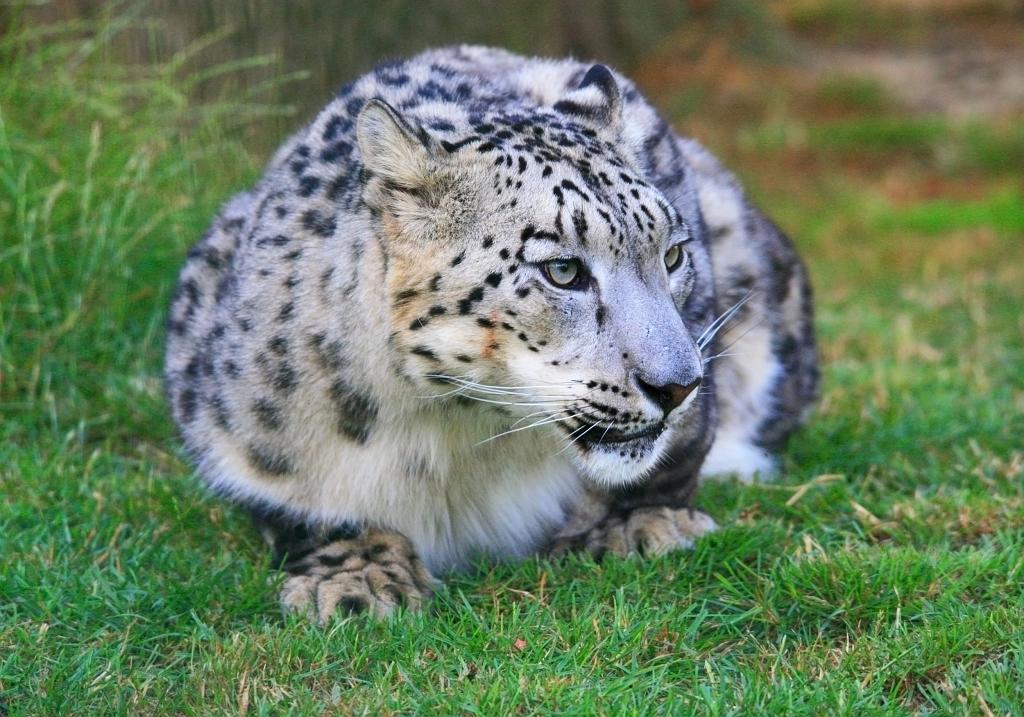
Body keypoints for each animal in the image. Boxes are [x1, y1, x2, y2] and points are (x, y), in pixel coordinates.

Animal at [165, 45, 818, 622]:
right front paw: (356, 580)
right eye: (563, 271)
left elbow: (673, 460)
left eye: (675, 254)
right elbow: (303, 505)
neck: (461, 440)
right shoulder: (234, 432)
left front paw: (643, 524)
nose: (679, 386)